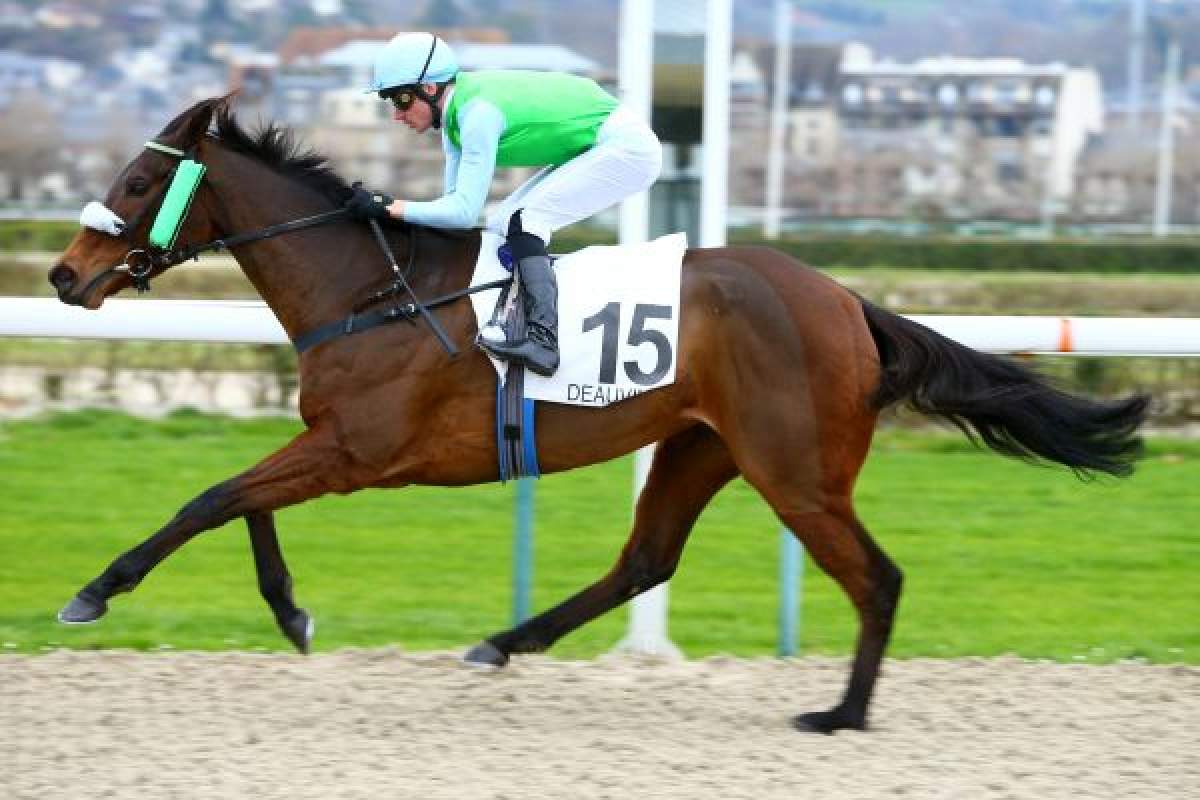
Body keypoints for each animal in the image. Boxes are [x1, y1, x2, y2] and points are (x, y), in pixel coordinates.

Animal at [48, 96, 1148, 734]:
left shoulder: (355, 449)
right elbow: (244, 503)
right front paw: (291, 611)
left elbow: (212, 498)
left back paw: (841, 713)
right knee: (646, 559)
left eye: (139, 180)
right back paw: (505, 640)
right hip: (701, 446)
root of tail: (848, 303)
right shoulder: (334, 445)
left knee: (876, 577)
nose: (63, 274)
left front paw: (95, 589)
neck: (370, 286)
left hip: (795, 470)